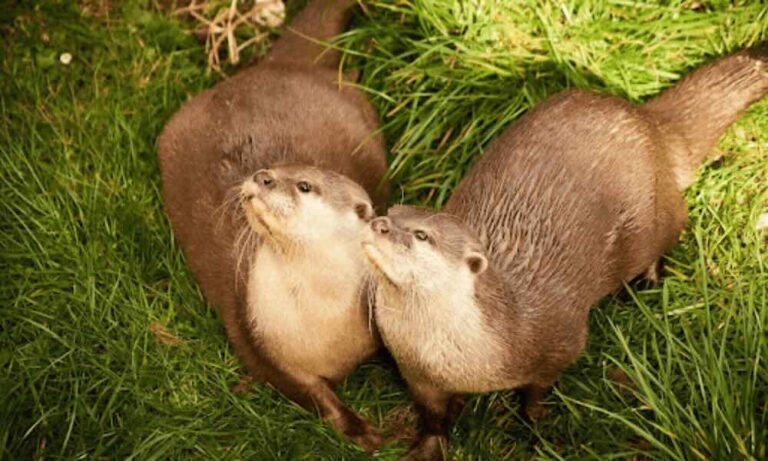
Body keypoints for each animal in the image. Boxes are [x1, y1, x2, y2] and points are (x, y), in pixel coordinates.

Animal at [157, 0, 387, 451]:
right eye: (273, 169)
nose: (261, 176)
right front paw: (360, 430)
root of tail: (278, 65)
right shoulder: (263, 347)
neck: (321, 319)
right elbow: (314, 398)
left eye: (304, 184)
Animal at [363, 46, 768, 460]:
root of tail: (647, 122)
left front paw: (534, 425)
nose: (378, 224)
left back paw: (644, 283)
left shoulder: (559, 344)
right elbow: (432, 416)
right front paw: (428, 445)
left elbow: (539, 389)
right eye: (390, 212)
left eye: (421, 235)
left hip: (653, 216)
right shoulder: (416, 374)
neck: (459, 357)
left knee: (675, 225)